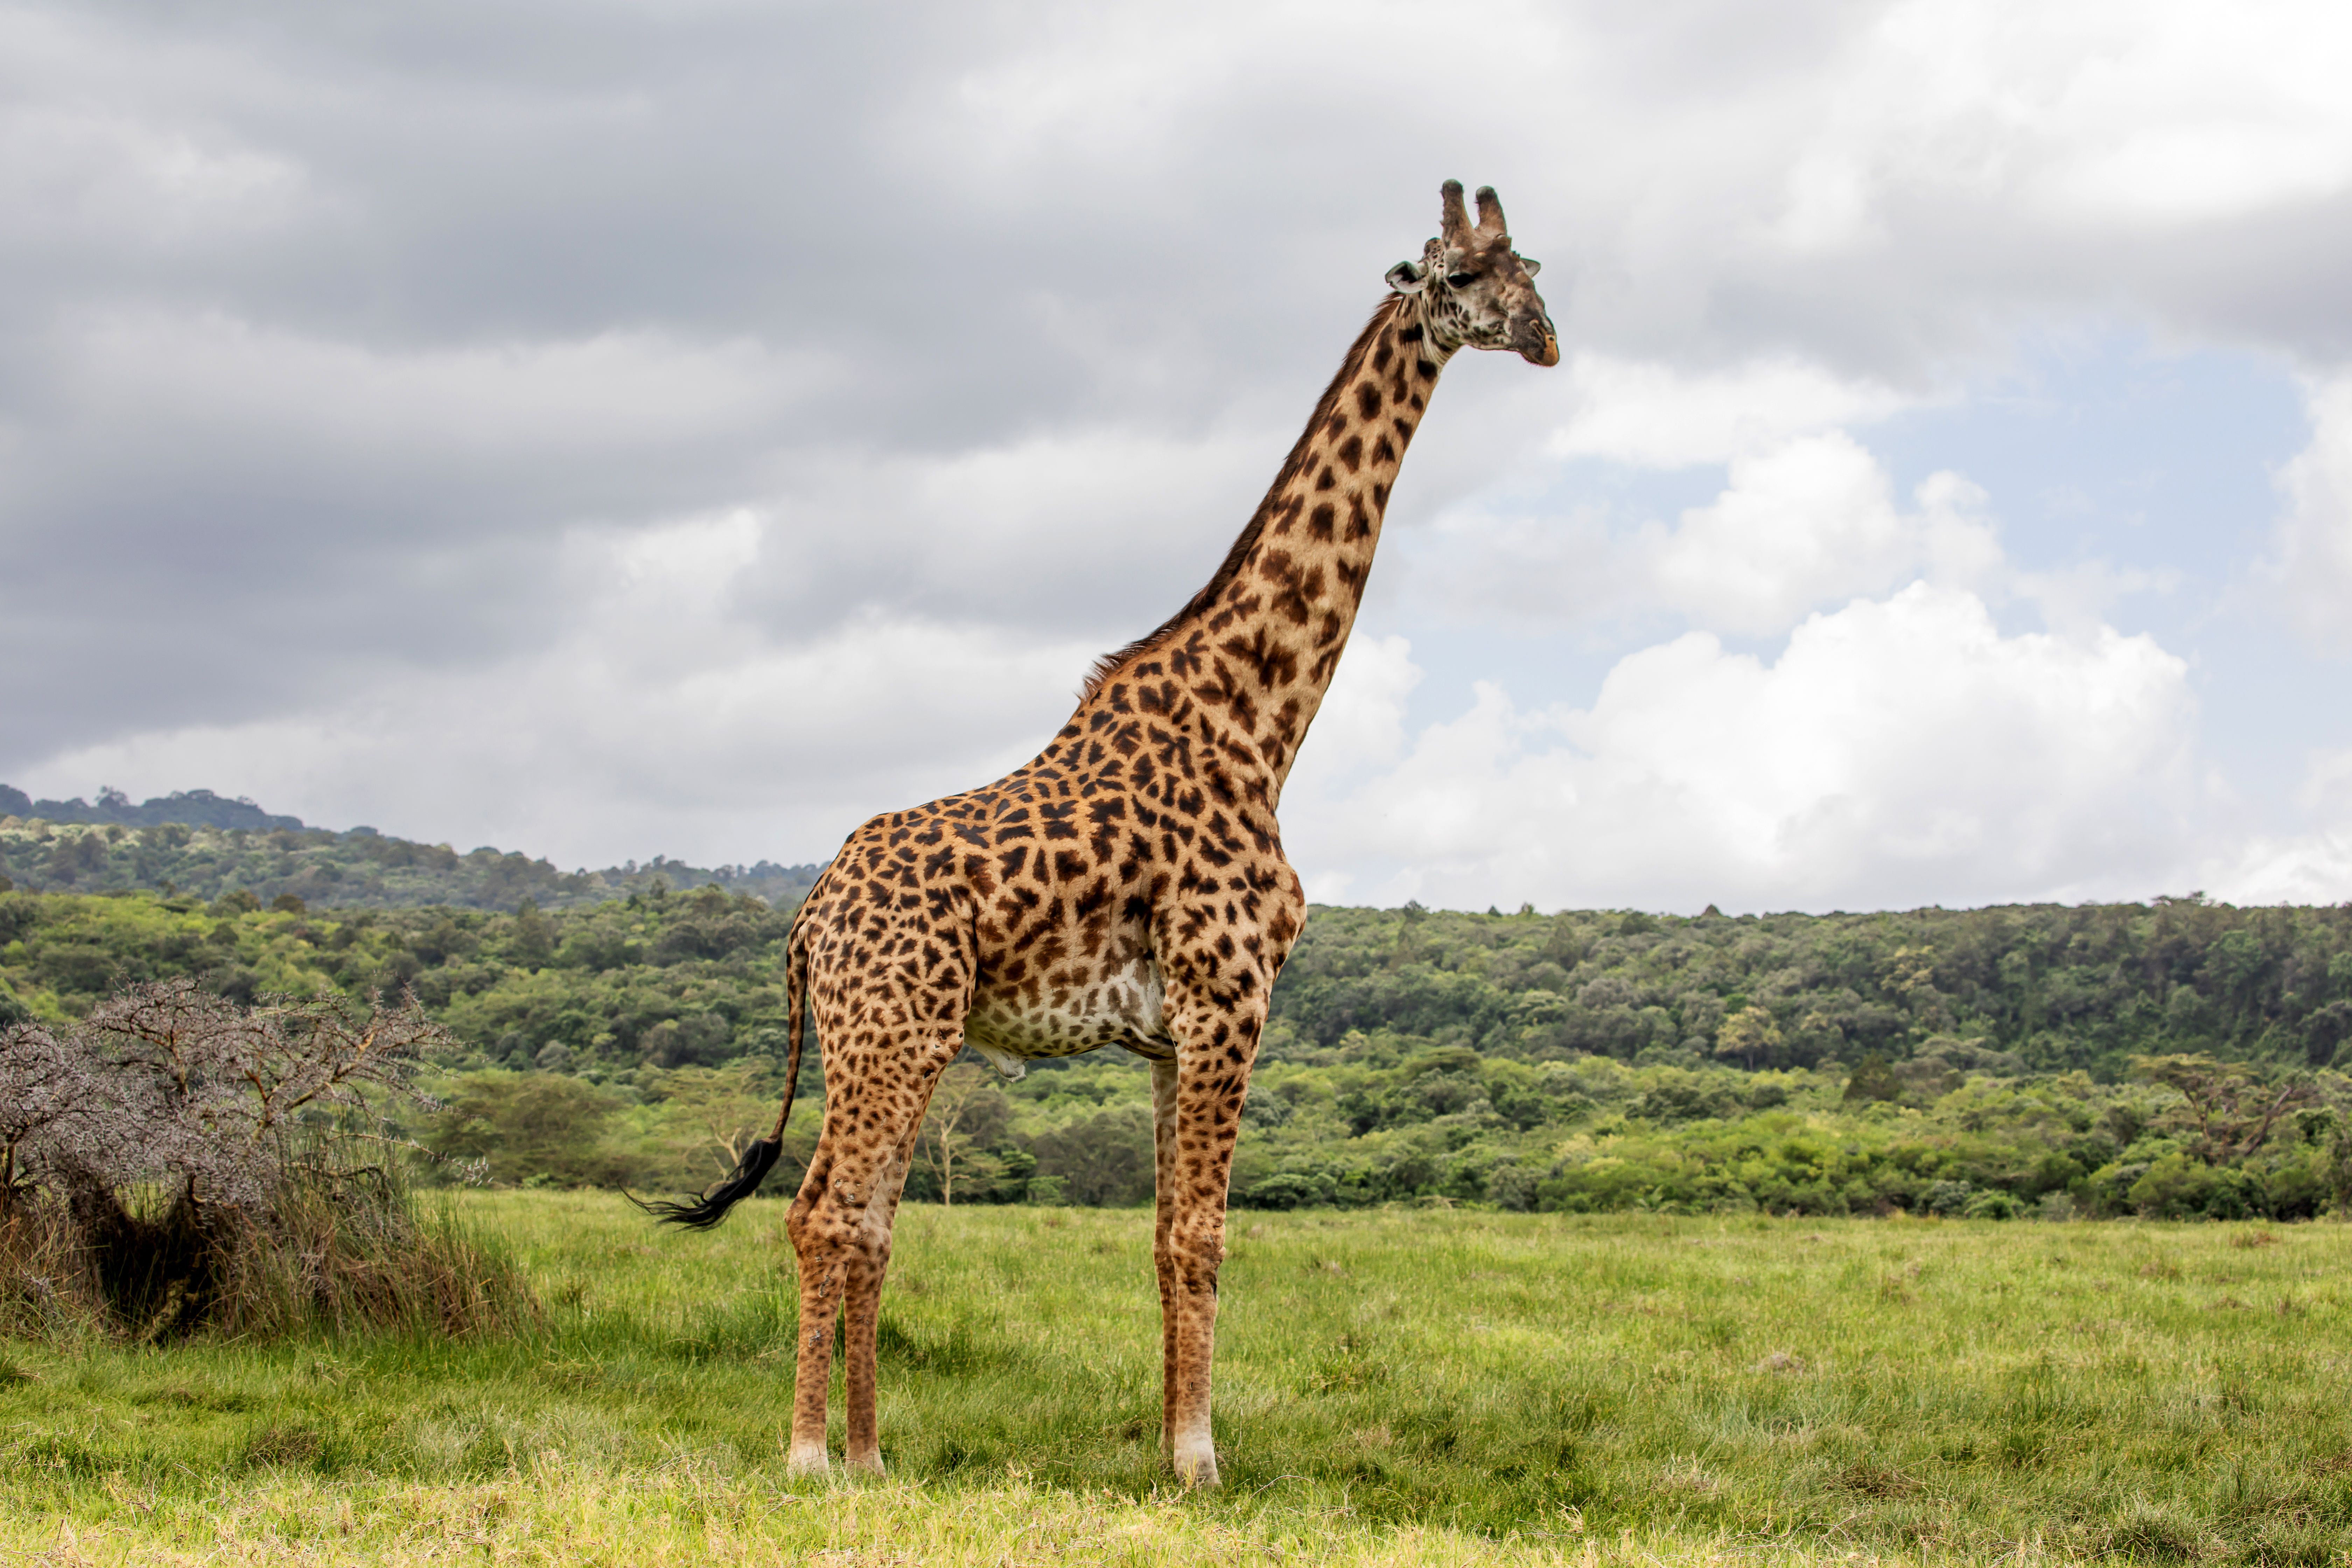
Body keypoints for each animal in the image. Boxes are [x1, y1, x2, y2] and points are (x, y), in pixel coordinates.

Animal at [640, 180, 1558, 1487]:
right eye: (1460, 279)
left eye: (1532, 269)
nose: (1543, 339)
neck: (1262, 721)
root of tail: (807, 923)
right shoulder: (1230, 1000)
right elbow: (1205, 1239)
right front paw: (1202, 1461)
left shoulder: (1175, 1035)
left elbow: (1166, 1239)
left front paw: (1172, 1451)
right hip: (890, 1032)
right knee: (825, 1213)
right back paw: (812, 1459)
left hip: (897, 1037)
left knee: (867, 1219)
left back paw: (872, 1456)